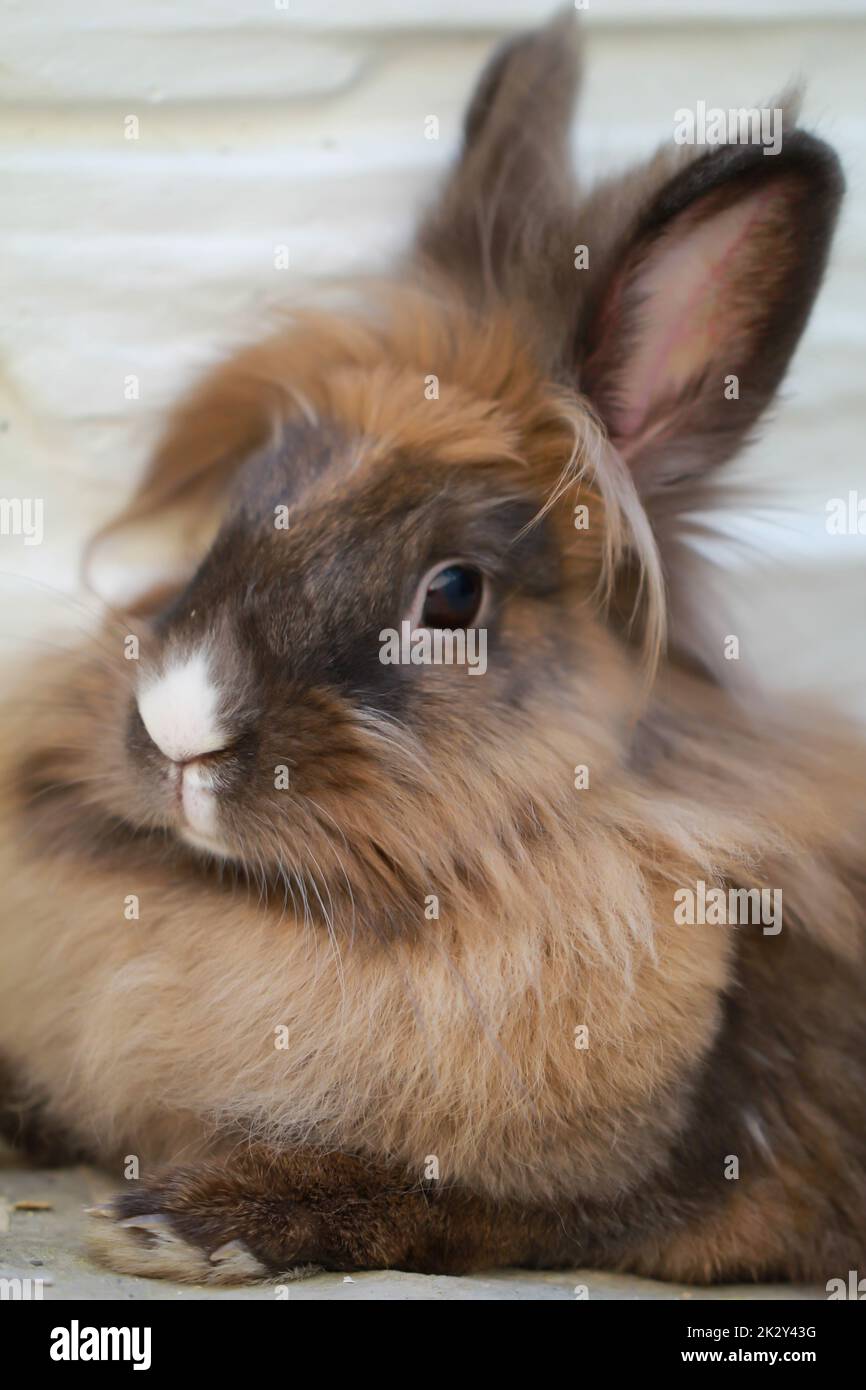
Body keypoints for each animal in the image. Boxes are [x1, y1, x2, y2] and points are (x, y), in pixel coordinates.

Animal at [1, 11, 864, 1286]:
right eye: (242, 503)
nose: (176, 725)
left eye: (451, 594)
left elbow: (429, 1193)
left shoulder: (616, 1195)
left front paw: (186, 1222)